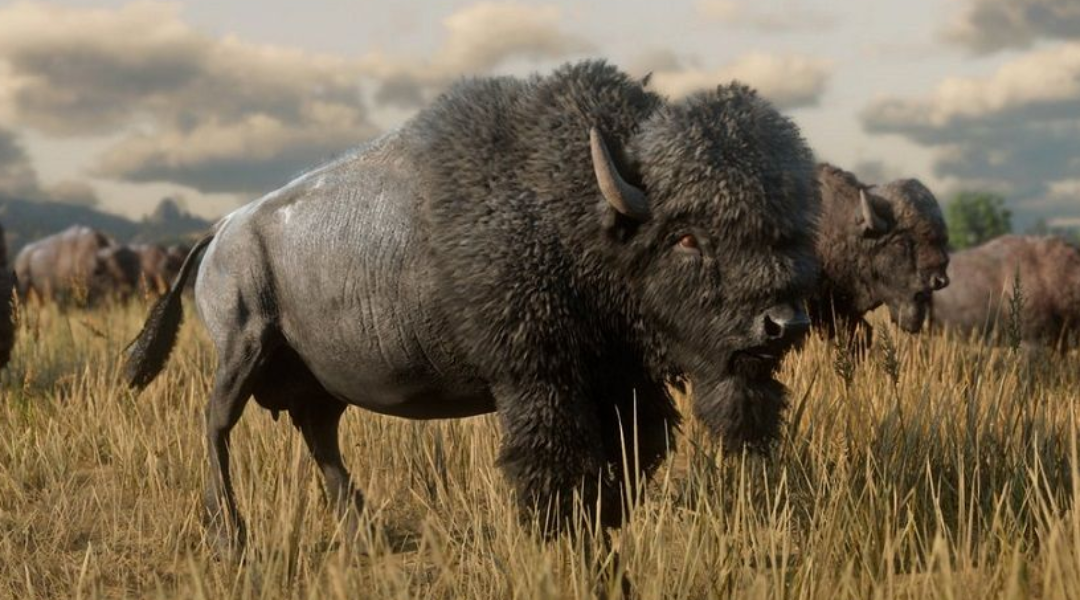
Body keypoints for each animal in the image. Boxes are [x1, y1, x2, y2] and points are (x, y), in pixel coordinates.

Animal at [125, 62, 820, 547]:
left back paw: (363, 534)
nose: (782, 323)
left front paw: (603, 521)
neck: (576, 207)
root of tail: (223, 229)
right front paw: (558, 533)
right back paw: (231, 537)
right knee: (216, 425)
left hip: (317, 381)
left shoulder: (623, 384)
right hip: (242, 349)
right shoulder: (538, 381)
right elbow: (552, 459)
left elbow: (630, 455)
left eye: (790, 227)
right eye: (686, 236)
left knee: (320, 439)